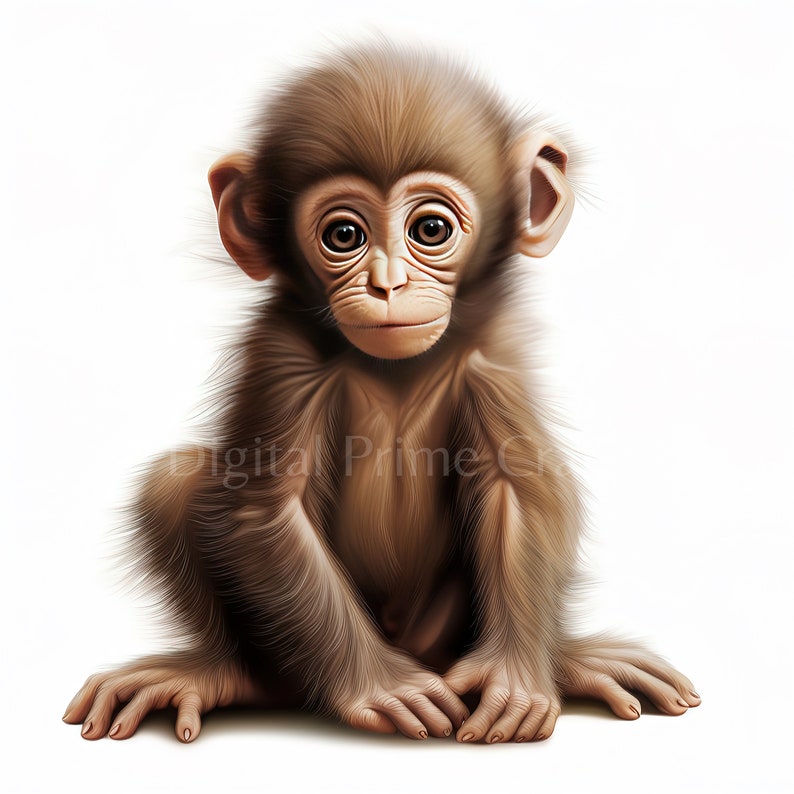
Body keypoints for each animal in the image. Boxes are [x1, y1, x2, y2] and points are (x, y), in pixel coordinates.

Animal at [63, 44, 700, 745]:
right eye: (343, 235)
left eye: (431, 228)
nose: (387, 284)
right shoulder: (281, 352)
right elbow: (264, 507)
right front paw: (380, 687)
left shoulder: (497, 349)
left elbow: (520, 484)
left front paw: (515, 679)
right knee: (175, 481)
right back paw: (230, 676)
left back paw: (570, 661)